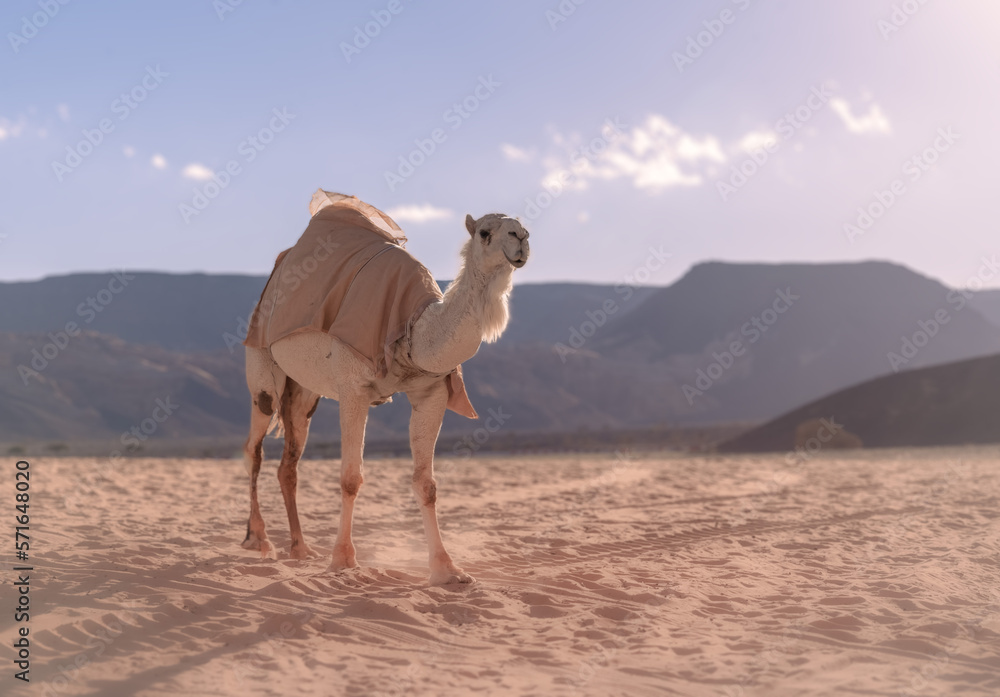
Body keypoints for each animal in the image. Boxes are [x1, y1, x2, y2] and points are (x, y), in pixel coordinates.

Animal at [241, 194, 529, 585]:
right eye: (485, 231)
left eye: (523, 227)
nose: (521, 239)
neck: (414, 330)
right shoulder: (353, 389)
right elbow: (350, 478)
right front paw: (343, 560)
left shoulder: (431, 394)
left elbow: (427, 484)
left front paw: (447, 569)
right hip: (262, 366)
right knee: (254, 448)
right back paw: (259, 539)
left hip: (303, 391)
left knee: (289, 461)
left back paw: (300, 549)